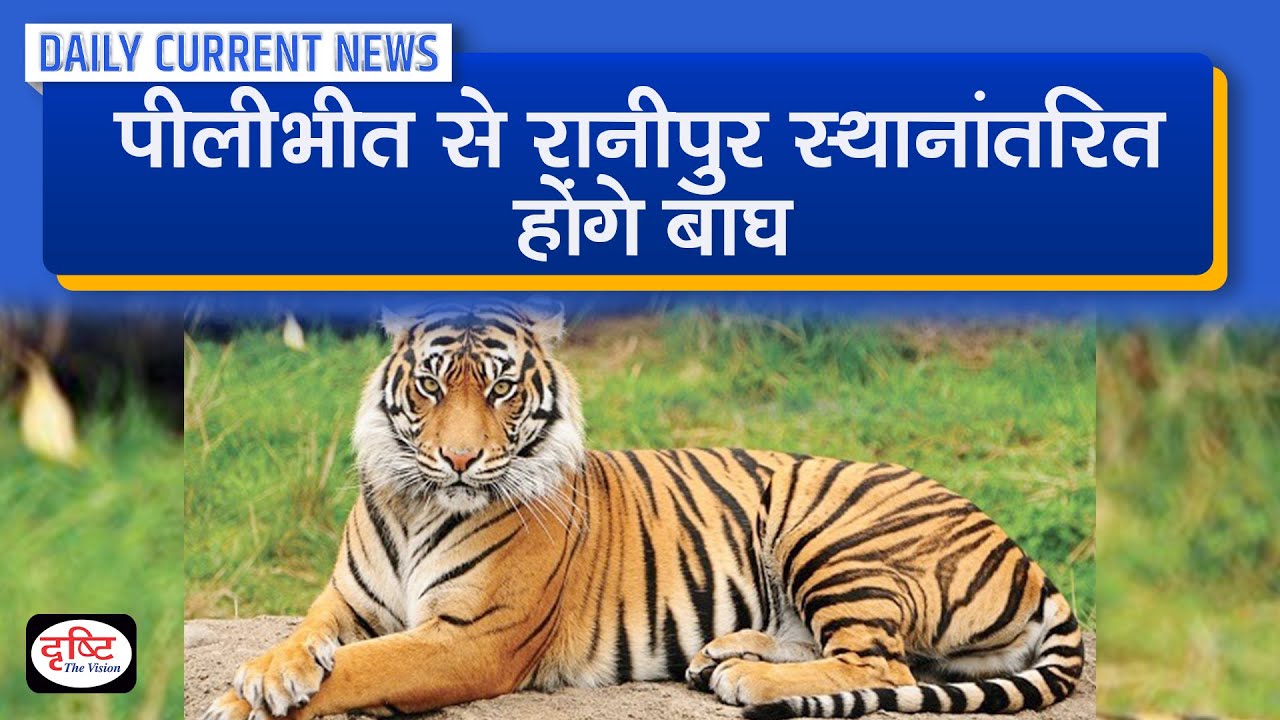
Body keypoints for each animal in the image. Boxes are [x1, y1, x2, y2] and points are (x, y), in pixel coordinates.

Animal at [204, 302, 1085, 720]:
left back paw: (747, 680)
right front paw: (264, 674)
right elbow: (306, 639)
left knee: (882, 665)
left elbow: (364, 667)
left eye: (500, 388)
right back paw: (723, 654)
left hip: (830, 533)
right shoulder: (346, 602)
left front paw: (245, 698)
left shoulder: (471, 638)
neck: (420, 503)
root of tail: (1023, 554)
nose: (458, 460)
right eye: (429, 385)